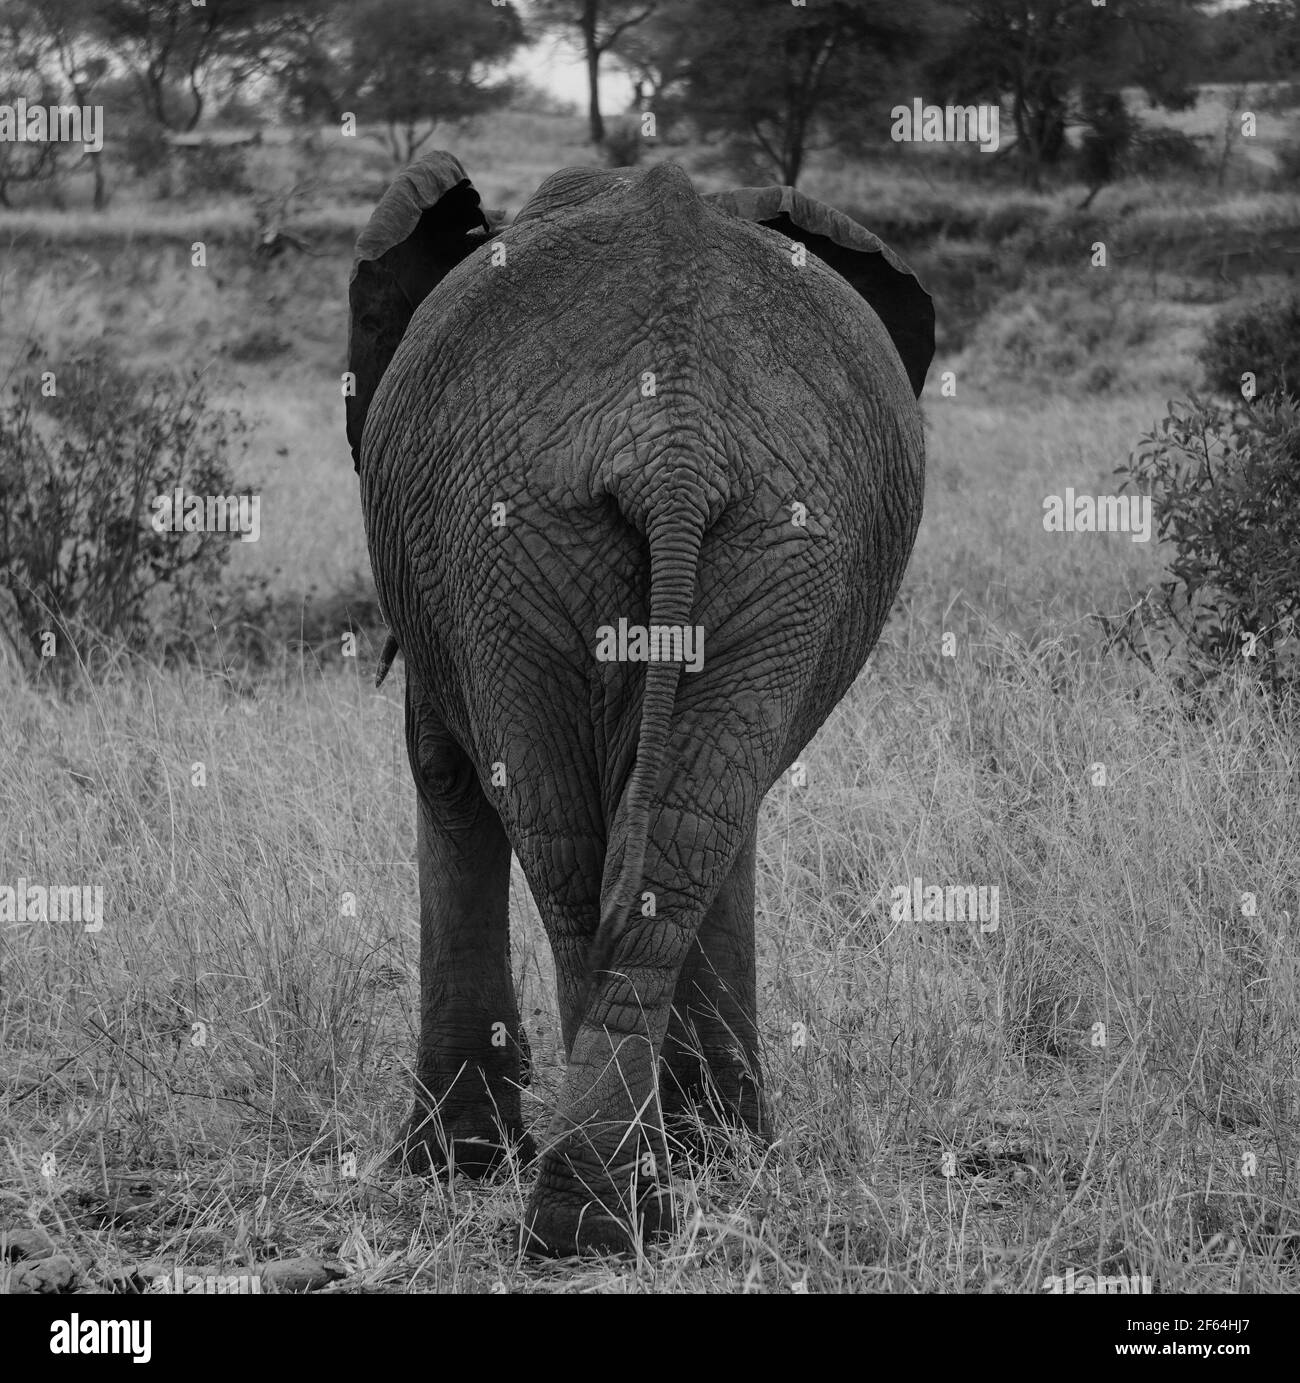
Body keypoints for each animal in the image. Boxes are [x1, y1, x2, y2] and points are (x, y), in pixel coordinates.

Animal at [346, 151, 933, 1256]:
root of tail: (676, 438)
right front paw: (721, 1155)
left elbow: (441, 771)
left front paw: (448, 1167)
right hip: (739, 542)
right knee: (670, 833)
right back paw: (614, 1209)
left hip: (525, 541)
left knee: (579, 843)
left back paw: (590, 1213)